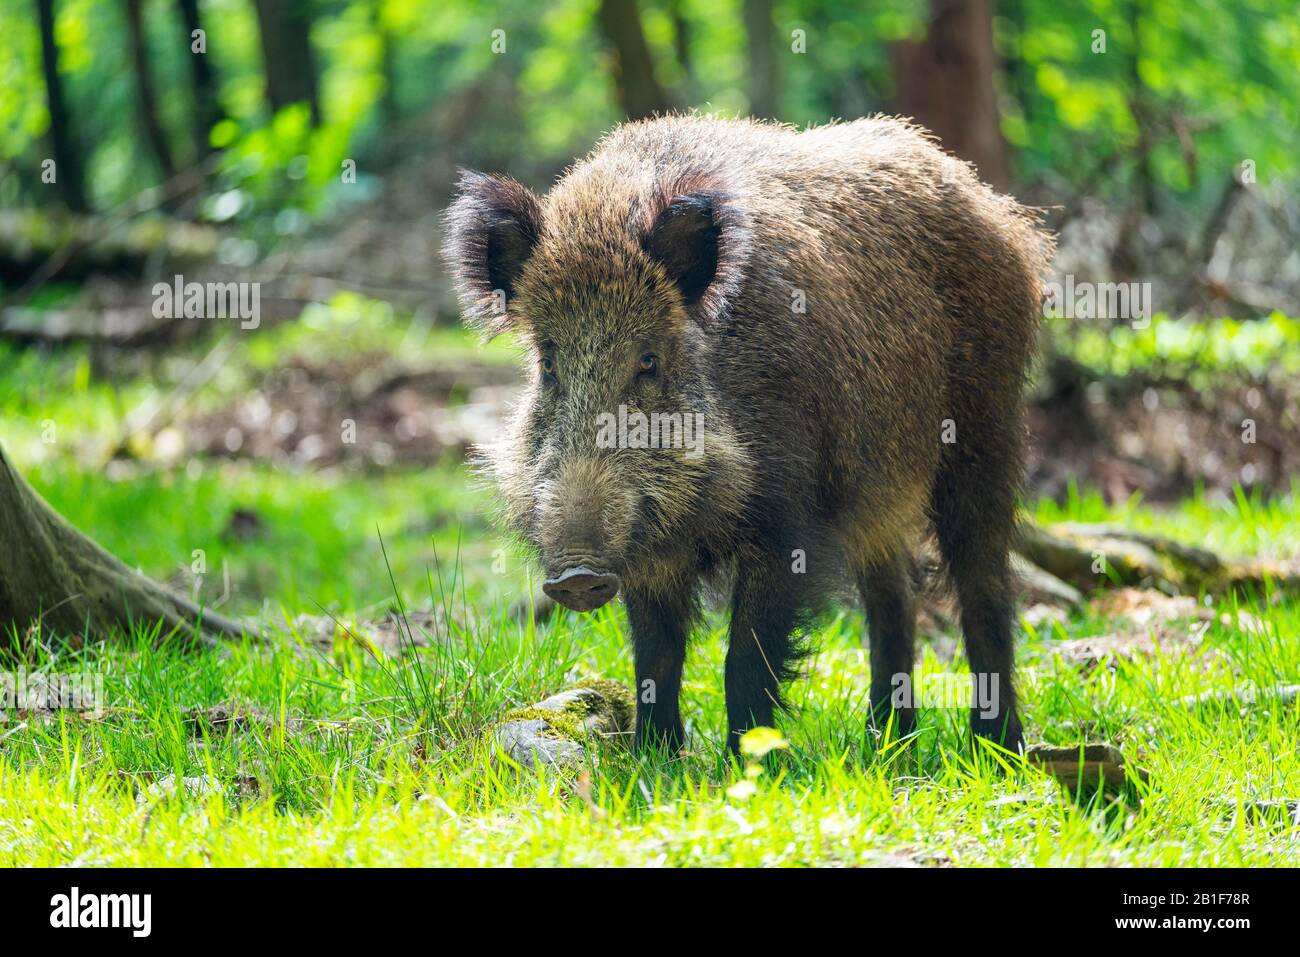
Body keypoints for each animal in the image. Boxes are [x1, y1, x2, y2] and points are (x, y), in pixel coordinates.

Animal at [443, 115, 1052, 756]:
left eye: (648, 360)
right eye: (548, 362)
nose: (577, 575)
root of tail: (996, 210)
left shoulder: (788, 519)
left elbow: (746, 658)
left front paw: (747, 762)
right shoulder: (648, 551)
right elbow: (656, 654)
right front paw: (654, 758)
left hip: (987, 428)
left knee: (983, 585)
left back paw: (998, 747)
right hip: (875, 490)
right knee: (894, 595)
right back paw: (886, 742)